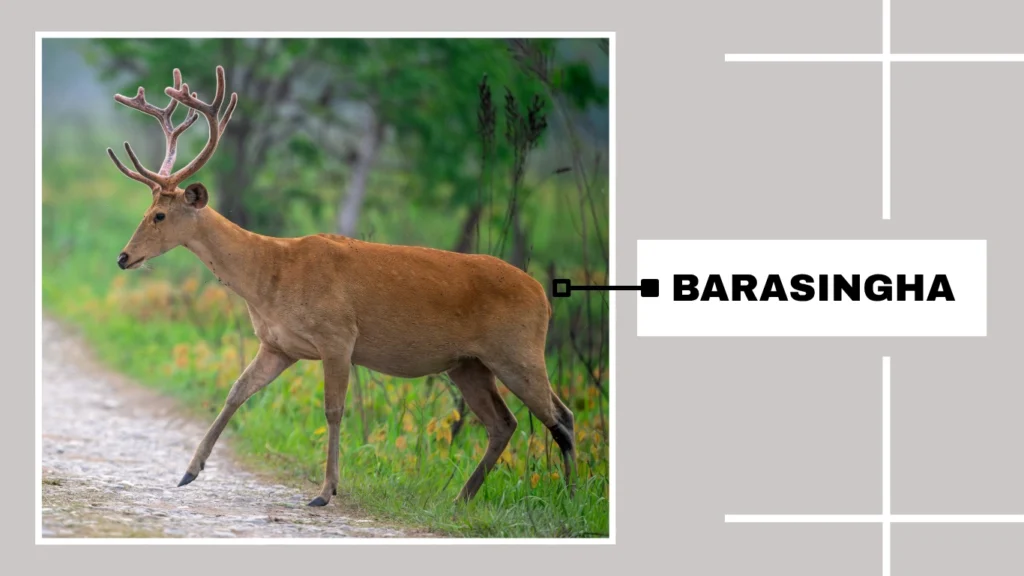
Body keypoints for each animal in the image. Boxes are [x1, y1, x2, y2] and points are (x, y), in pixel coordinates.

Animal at [105, 65, 577, 507]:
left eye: (159, 216)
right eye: (147, 210)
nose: (124, 257)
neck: (271, 275)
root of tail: (543, 295)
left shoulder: (337, 336)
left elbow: (333, 410)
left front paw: (326, 490)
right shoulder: (279, 345)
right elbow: (236, 391)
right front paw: (189, 471)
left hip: (517, 349)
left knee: (561, 417)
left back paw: (571, 501)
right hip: (468, 363)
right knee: (505, 422)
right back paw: (463, 498)